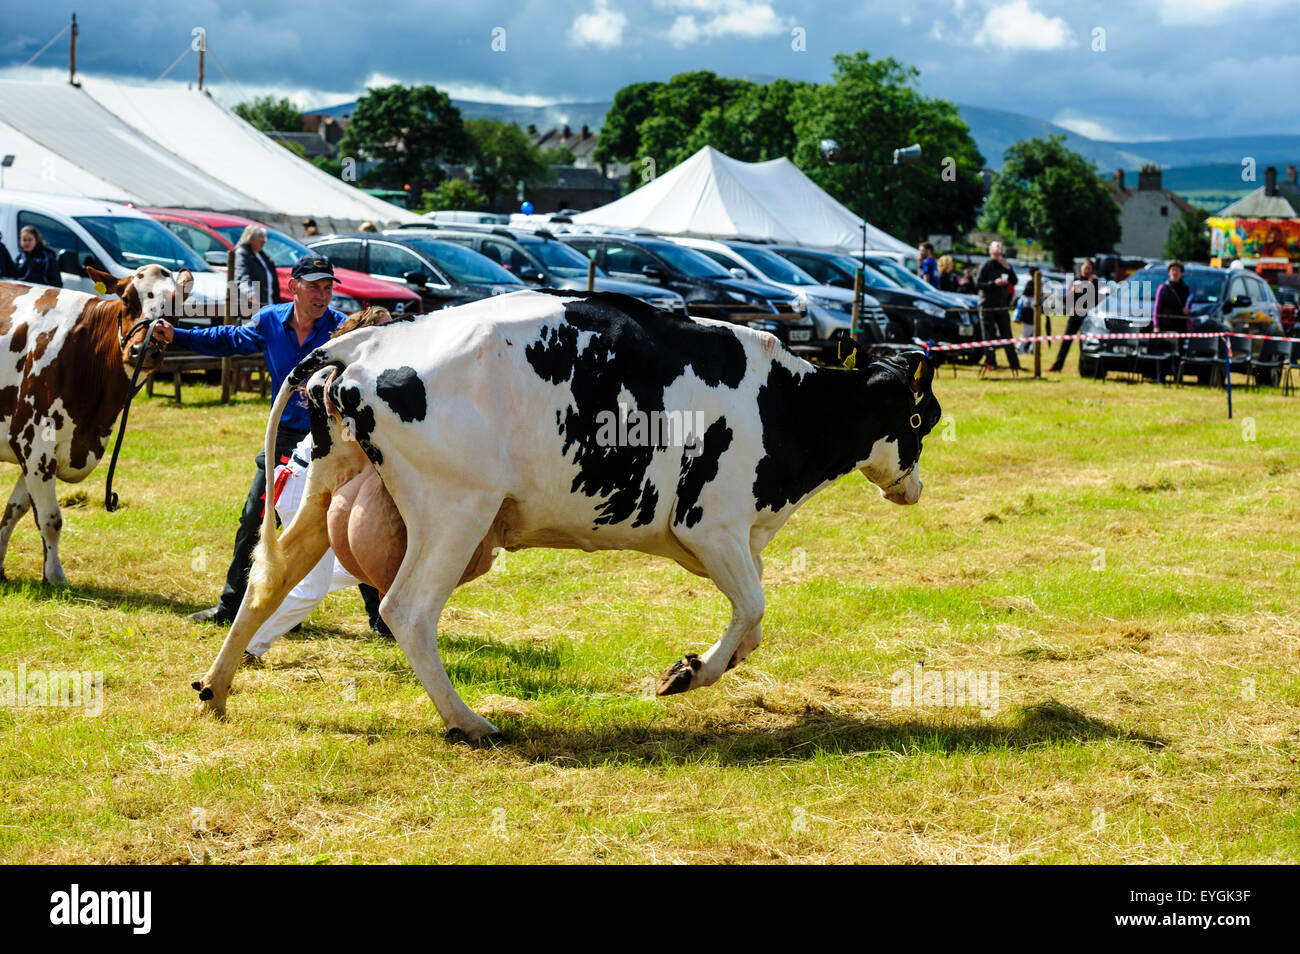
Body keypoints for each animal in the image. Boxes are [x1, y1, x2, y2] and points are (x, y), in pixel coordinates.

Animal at [0, 265, 188, 584]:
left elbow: (14, 509)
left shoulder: (41, 454)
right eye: (125, 299)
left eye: (176, 305)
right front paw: (55, 577)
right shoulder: (34, 442)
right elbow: (50, 518)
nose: (144, 350)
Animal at [194, 289, 941, 740]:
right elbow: (755, 610)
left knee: (267, 581)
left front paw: (698, 667)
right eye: (920, 418)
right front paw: (688, 675)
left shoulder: (732, 540)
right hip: (455, 508)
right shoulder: (711, 524)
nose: (914, 488)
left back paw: (217, 689)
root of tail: (367, 346)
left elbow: (751, 626)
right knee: (407, 610)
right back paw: (468, 721)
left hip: (329, 487)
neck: (784, 401)